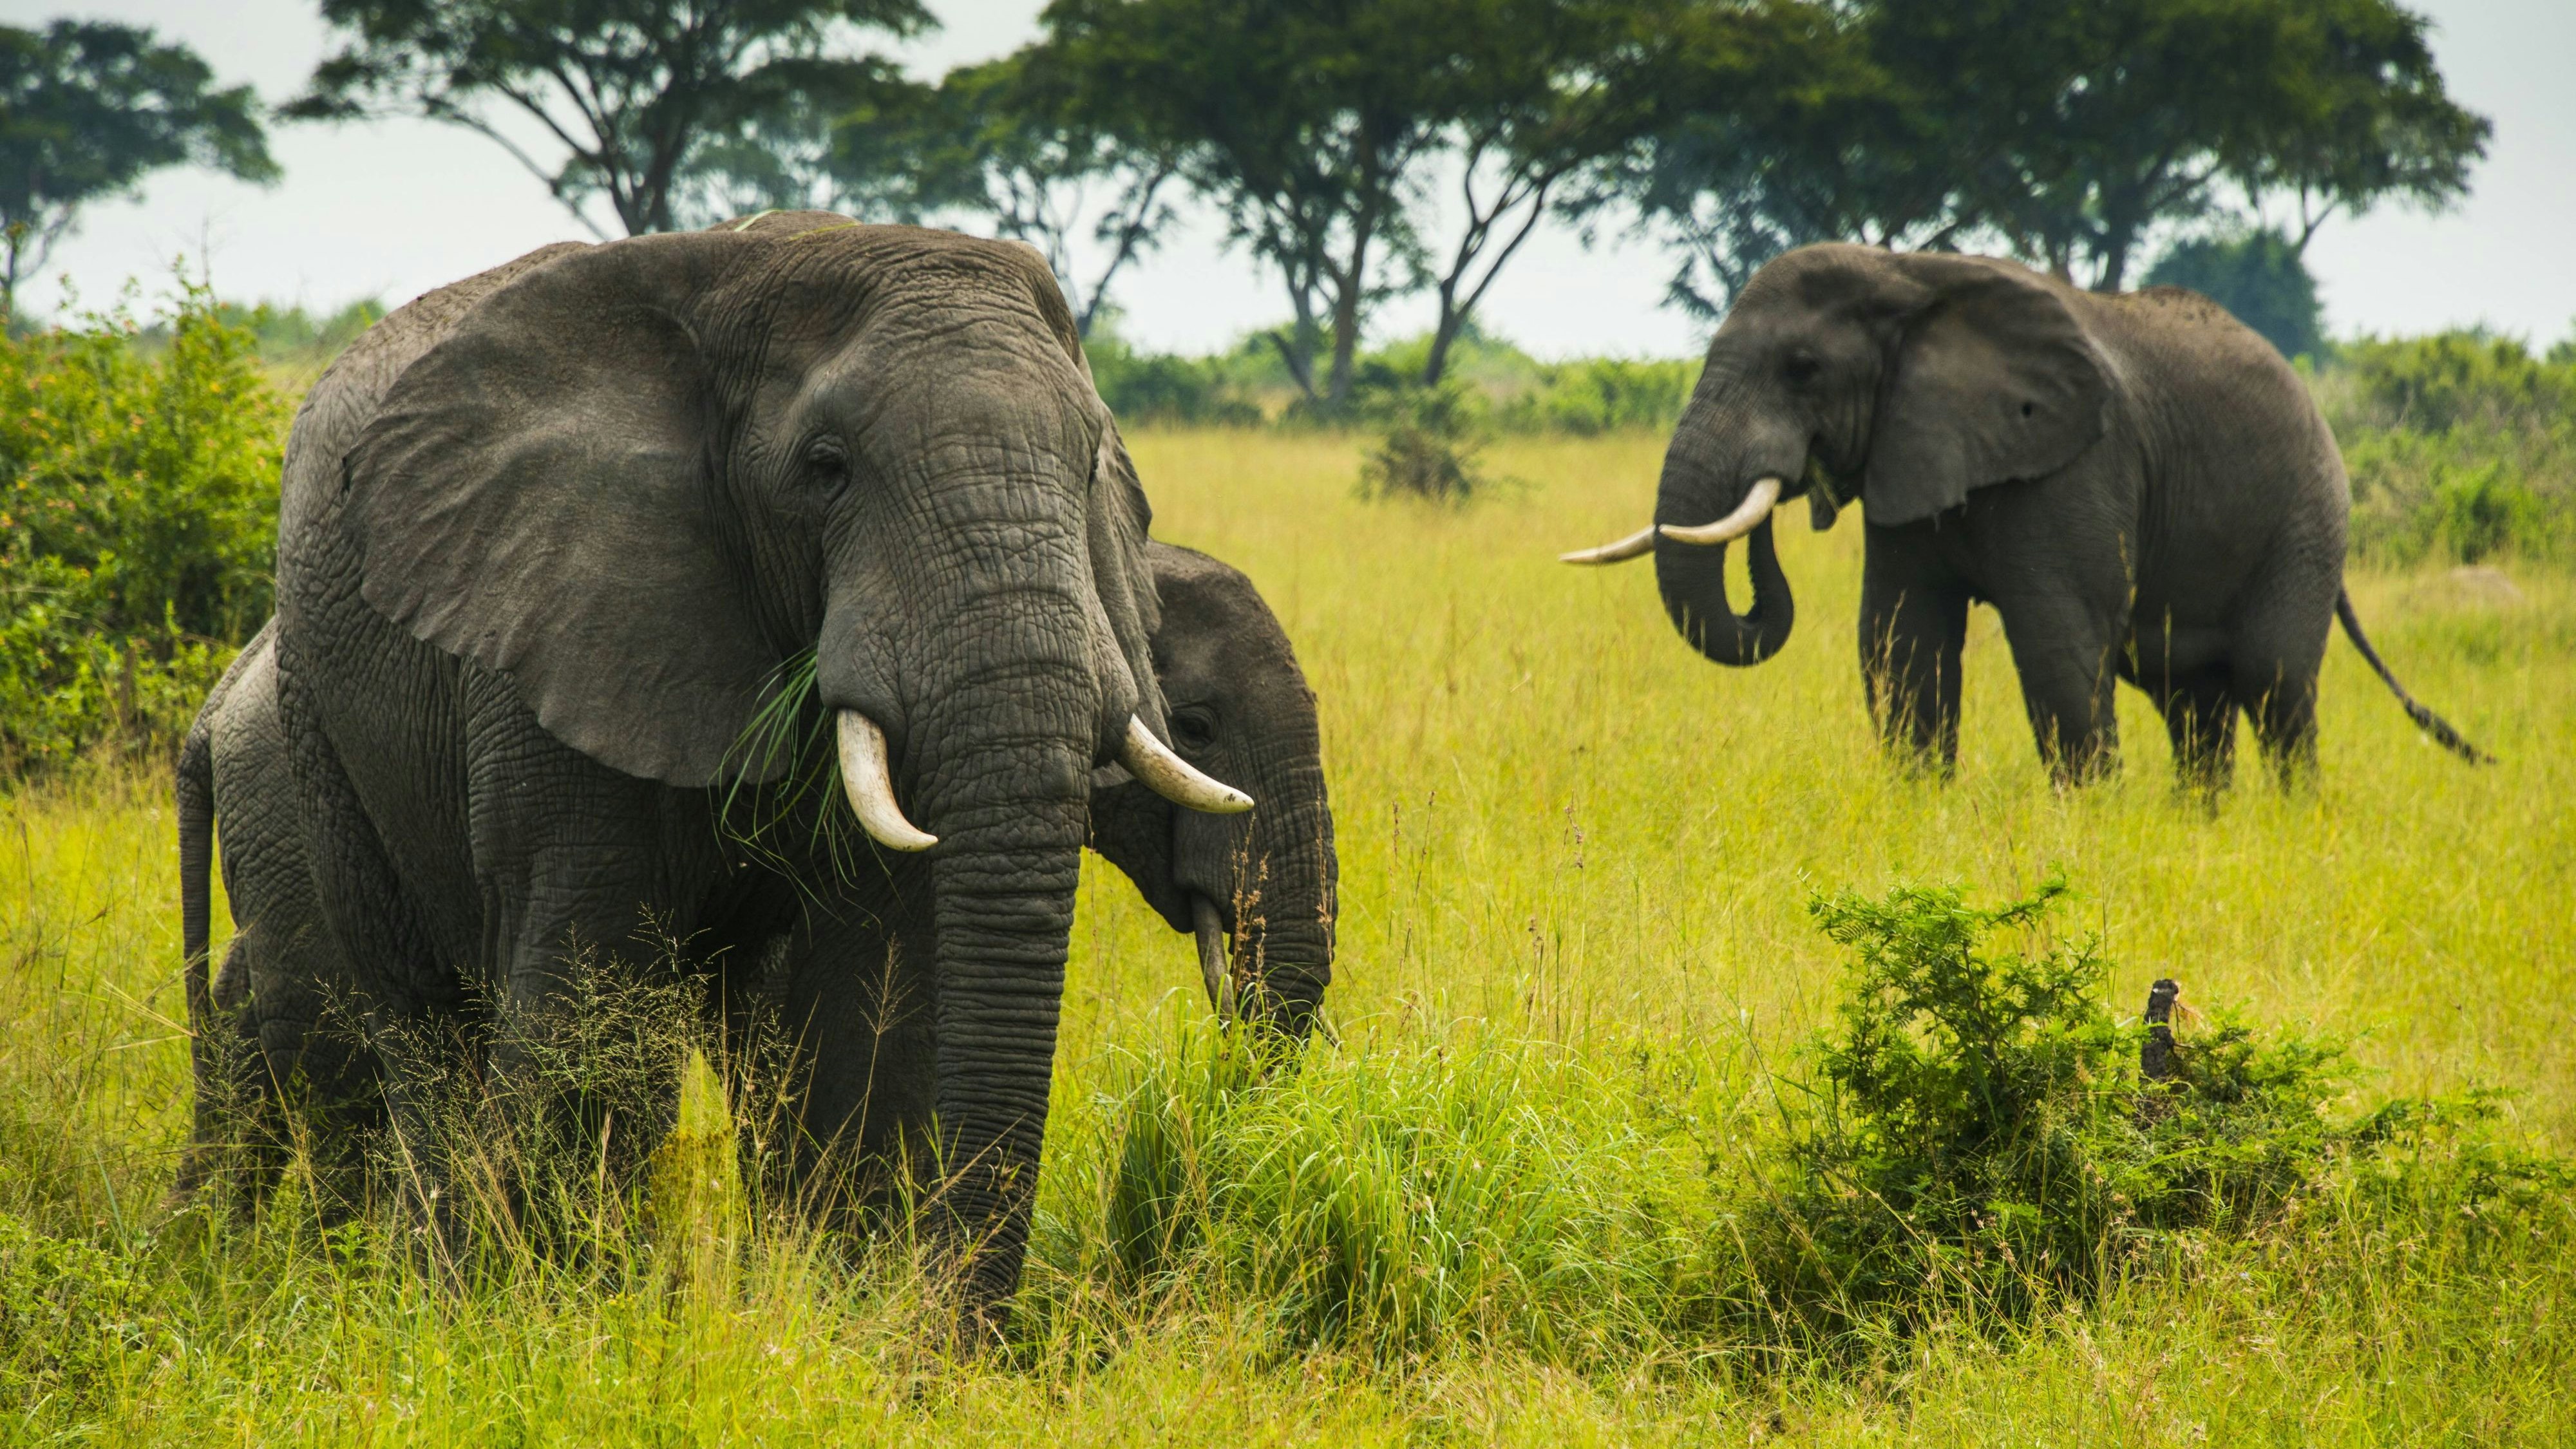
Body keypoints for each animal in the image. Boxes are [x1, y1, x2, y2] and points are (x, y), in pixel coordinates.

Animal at [1564, 243, 2484, 787]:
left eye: (1802, 368)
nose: (1789, 480)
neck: (1908, 273)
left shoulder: (2078, 464)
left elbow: (2057, 643)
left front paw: (2092, 825)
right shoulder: (1912, 452)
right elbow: (1900, 639)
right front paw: (1919, 808)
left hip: (2303, 519)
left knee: (2275, 684)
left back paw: (2291, 827)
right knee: (2191, 703)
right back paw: (2201, 828)